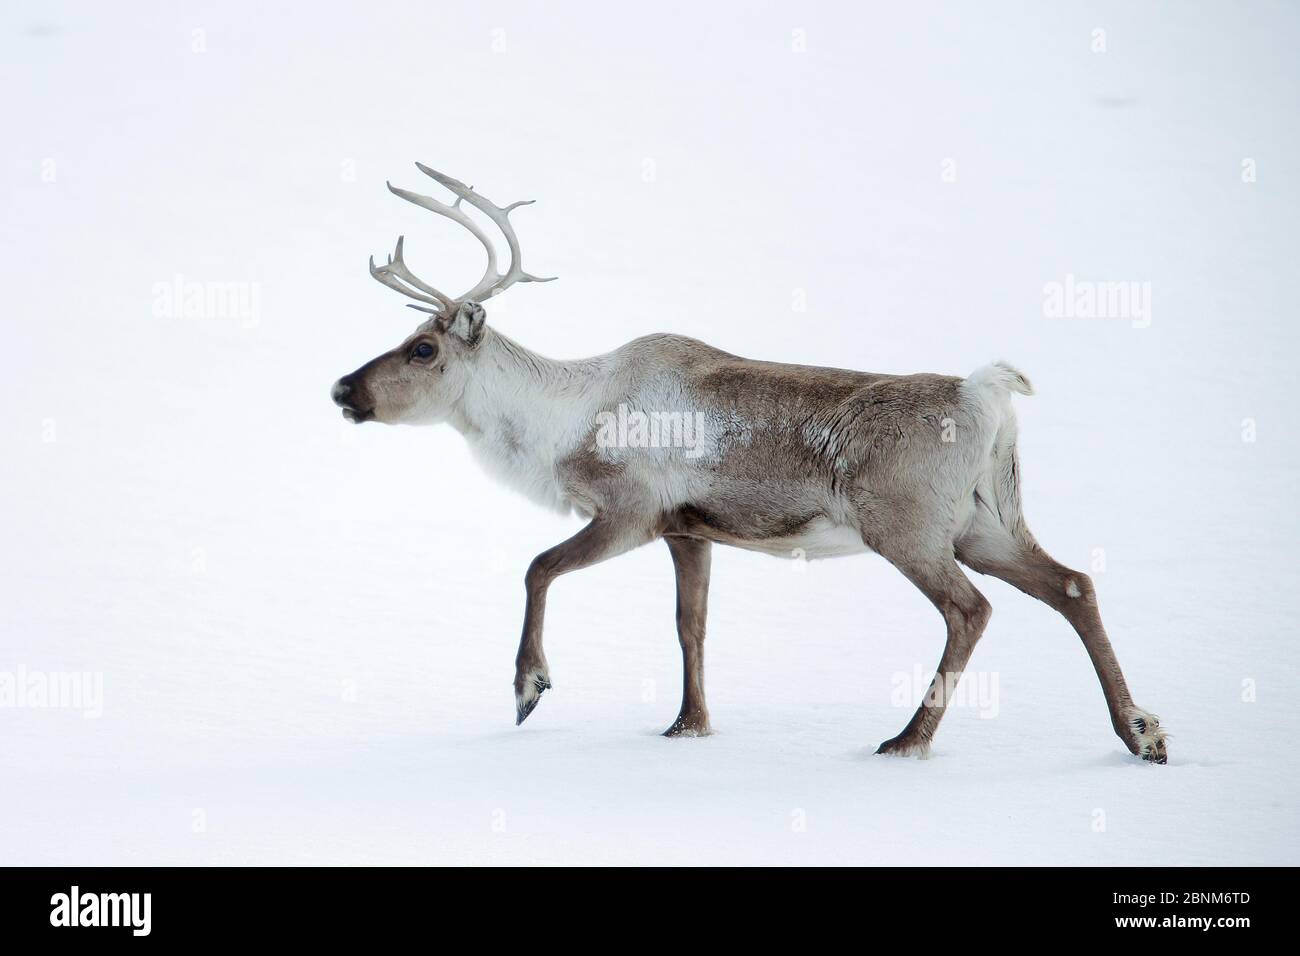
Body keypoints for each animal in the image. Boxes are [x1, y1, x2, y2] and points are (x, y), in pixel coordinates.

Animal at [331, 164, 1169, 763]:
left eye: (422, 348)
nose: (343, 388)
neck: (561, 419)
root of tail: (987, 395)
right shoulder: (688, 529)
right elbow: (690, 626)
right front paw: (688, 725)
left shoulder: (629, 512)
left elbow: (538, 567)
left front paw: (528, 687)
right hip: (985, 522)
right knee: (1073, 583)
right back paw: (1142, 732)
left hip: (909, 528)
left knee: (971, 610)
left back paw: (907, 741)